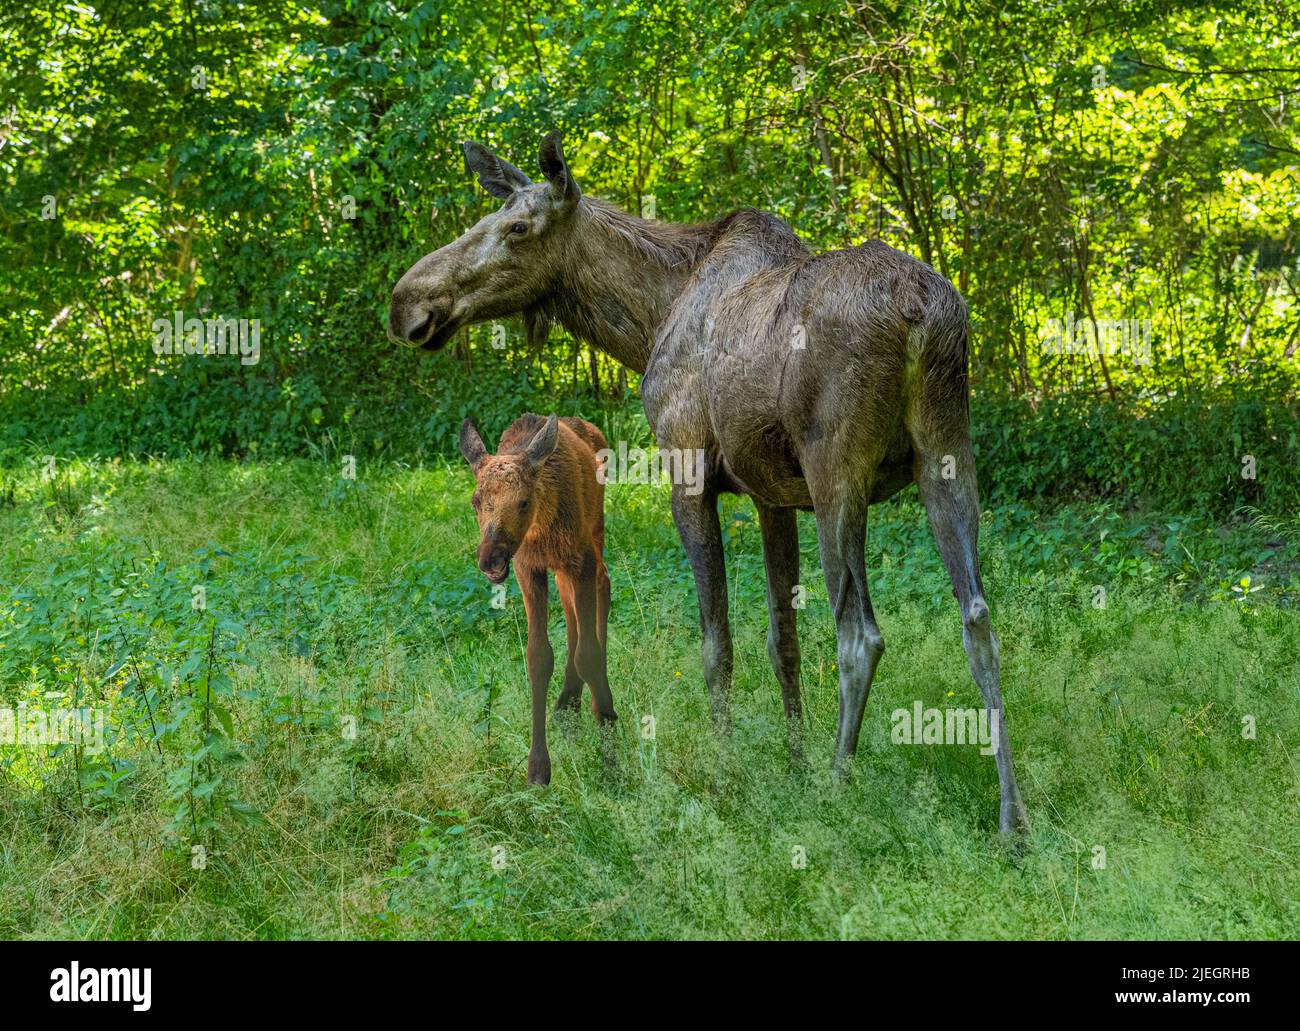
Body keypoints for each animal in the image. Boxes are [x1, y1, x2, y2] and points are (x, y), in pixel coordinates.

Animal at [458, 411, 616, 786]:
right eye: (475, 501)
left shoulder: (581, 559)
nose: (491, 558)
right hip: (561, 568)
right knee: (571, 609)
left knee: (604, 585)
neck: (541, 529)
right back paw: (568, 702)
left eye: (523, 501)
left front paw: (610, 755)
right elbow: (538, 656)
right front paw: (538, 768)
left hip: (595, 530)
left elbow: (588, 654)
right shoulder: (528, 567)